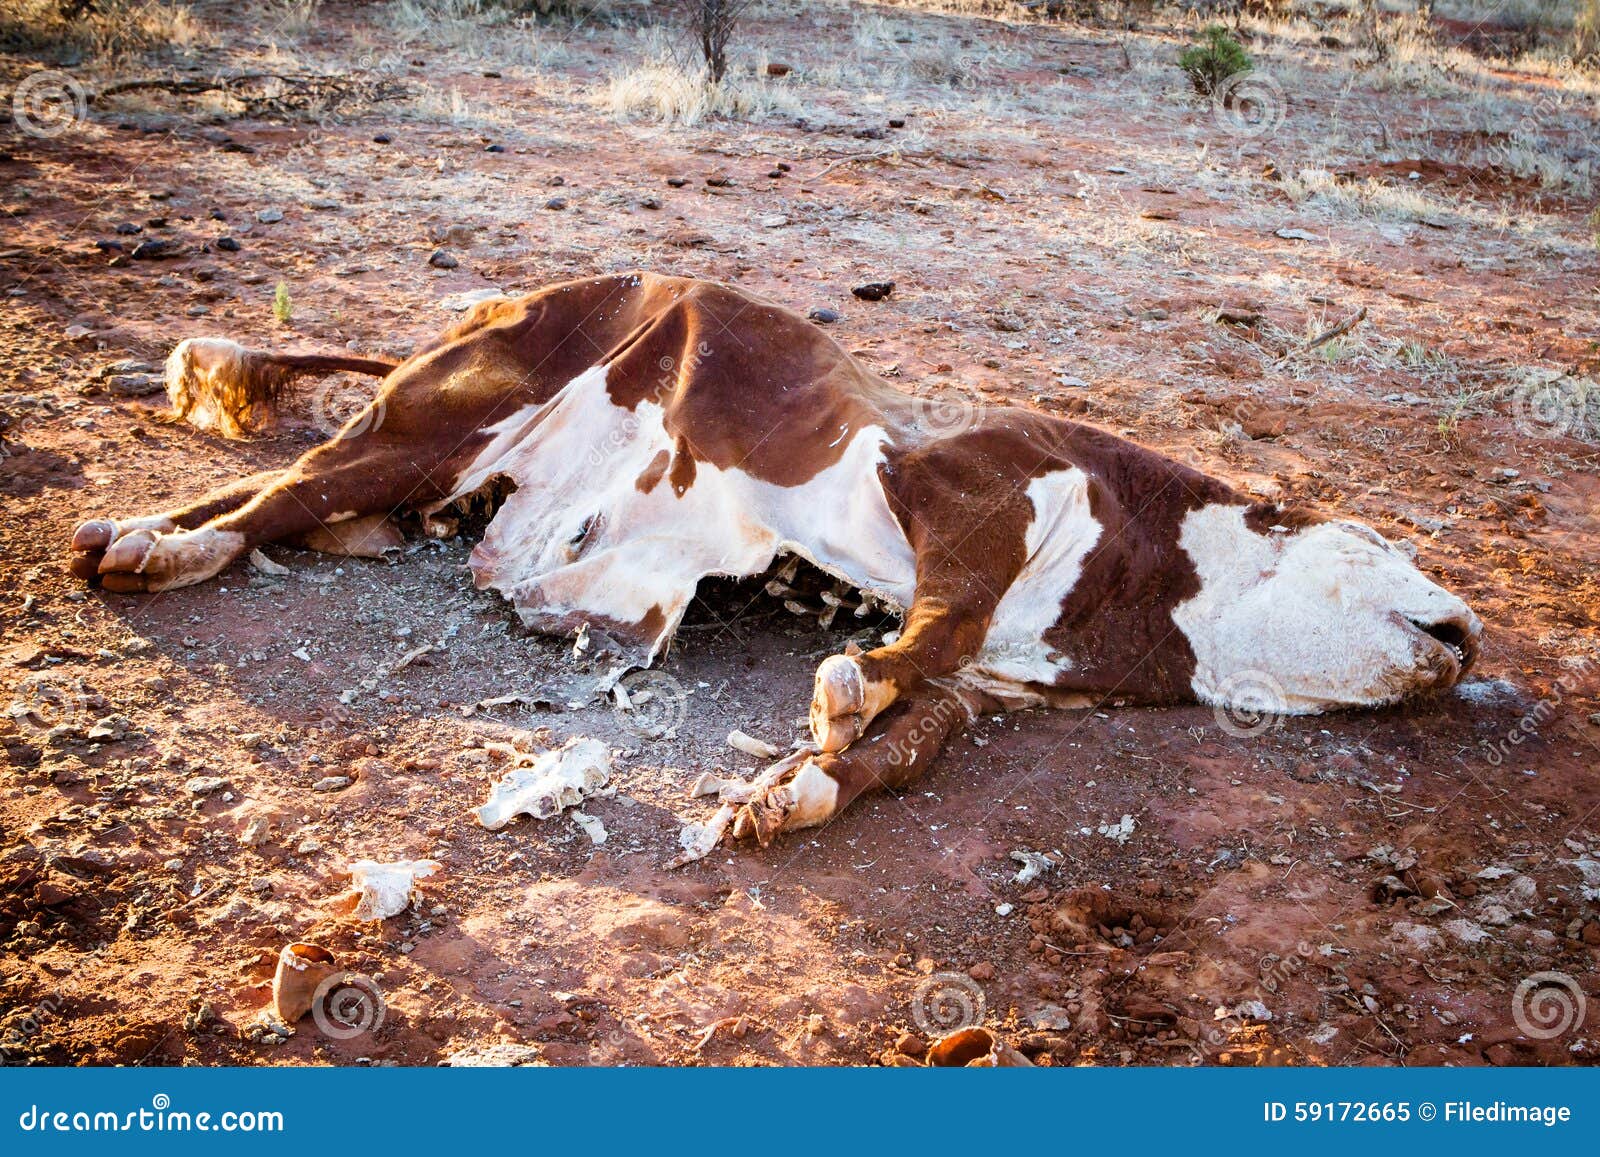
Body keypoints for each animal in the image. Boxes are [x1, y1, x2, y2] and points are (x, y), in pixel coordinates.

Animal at [68, 271, 1481, 862]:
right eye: (1395, 548)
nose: (1473, 635)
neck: (1155, 591)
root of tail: (497, 299)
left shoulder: (998, 694)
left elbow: (913, 740)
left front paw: (797, 788)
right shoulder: (975, 487)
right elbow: (929, 630)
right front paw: (843, 692)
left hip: (423, 472)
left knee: (298, 498)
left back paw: (148, 536)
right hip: (442, 413)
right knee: (291, 482)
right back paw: (152, 544)